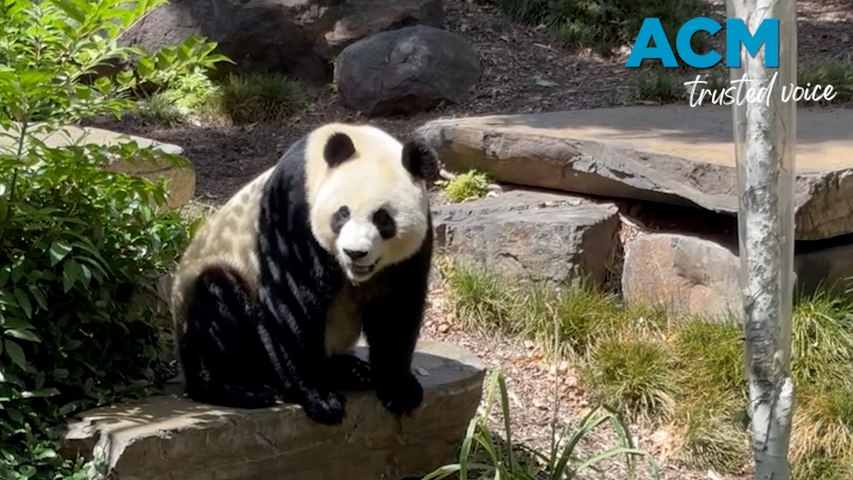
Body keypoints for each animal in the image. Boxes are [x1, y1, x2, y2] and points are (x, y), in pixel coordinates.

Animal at [169, 122, 438, 425]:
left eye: (382, 218)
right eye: (342, 214)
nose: (354, 253)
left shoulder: (414, 247)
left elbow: (396, 309)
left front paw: (400, 389)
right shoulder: (292, 211)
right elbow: (291, 301)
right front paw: (320, 398)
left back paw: (351, 370)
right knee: (216, 302)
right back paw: (241, 389)